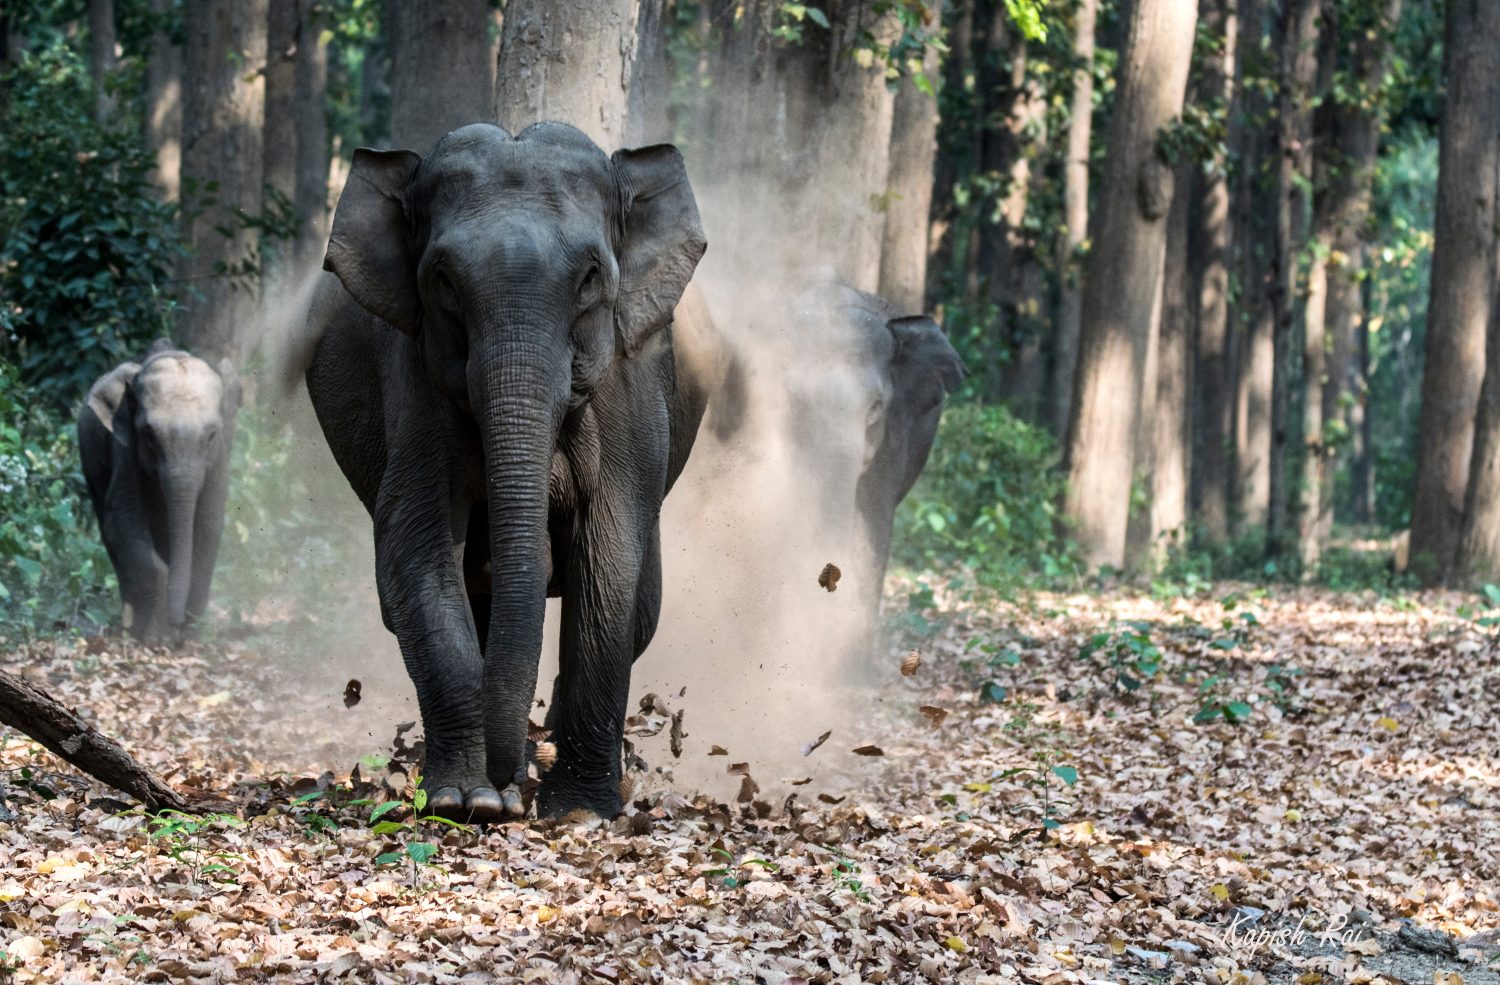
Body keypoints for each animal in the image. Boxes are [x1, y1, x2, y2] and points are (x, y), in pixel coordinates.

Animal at [77, 339, 241, 644]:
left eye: (212, 435)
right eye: (149, 435)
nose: (180, 626)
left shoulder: (221, 455)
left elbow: (210, 521)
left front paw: (187, 631)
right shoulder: (124, 446)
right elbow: (123, 520)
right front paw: (157, 637)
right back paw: (130, 623)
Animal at [303, 122, 707, 822]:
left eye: (591, 277)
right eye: (441, 279)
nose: (510, 788)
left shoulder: (629, 383)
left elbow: (609, 555)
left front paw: (577, 811)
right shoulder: (415, 380)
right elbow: (414, 543)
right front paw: (467, 800)